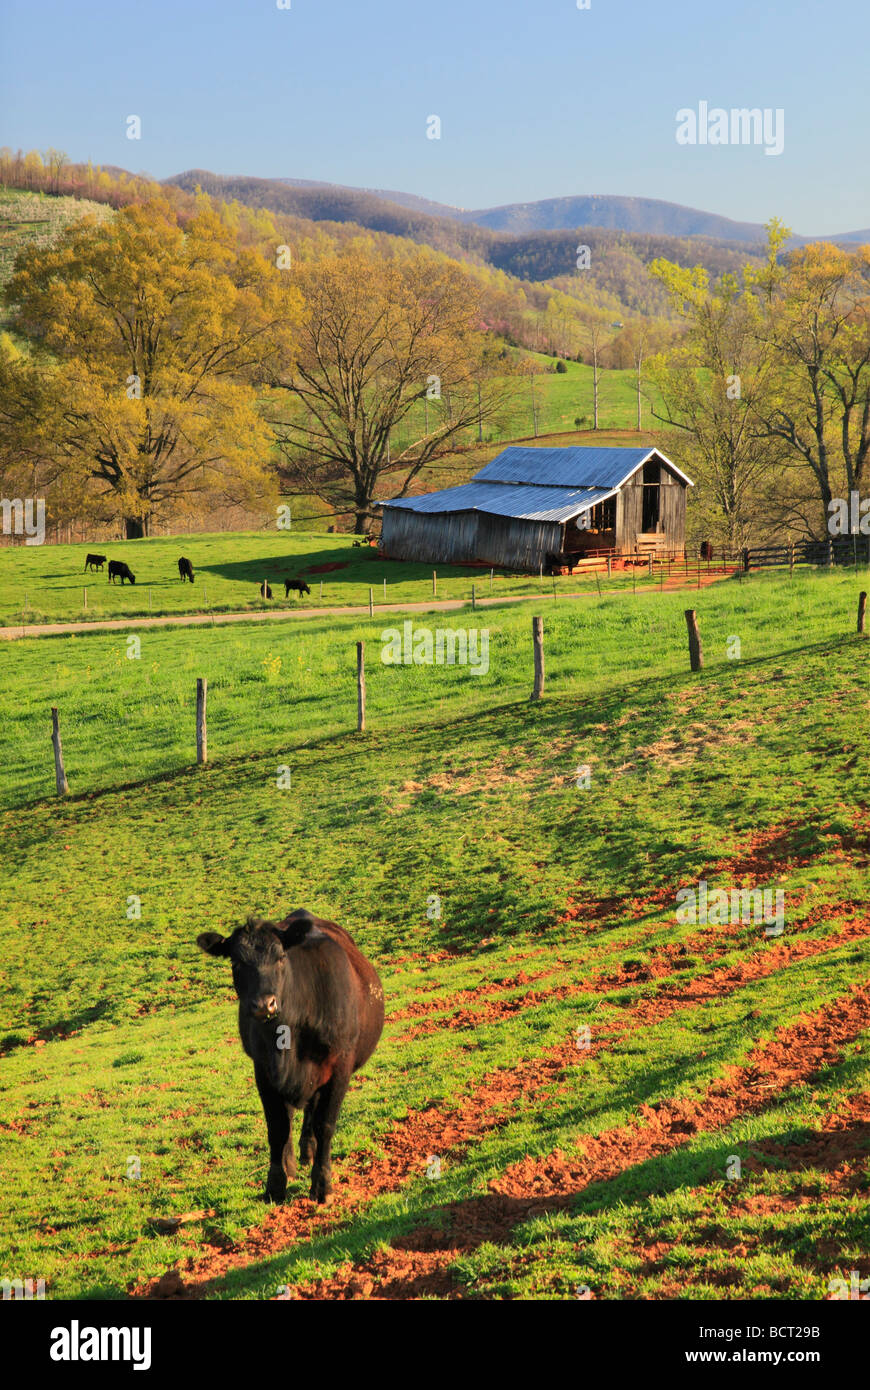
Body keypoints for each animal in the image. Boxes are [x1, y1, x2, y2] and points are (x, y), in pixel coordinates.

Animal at [197, 910, 384, 1205]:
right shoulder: (263, 1070)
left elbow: (325, 1124)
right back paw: (292, 1160)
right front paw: (275, 1183)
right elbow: (277, 1127)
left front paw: (322, 1184)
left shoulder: (339, 1067)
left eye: (281, 956)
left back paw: (309, 1150)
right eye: (236, 962)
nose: (264, 1004)